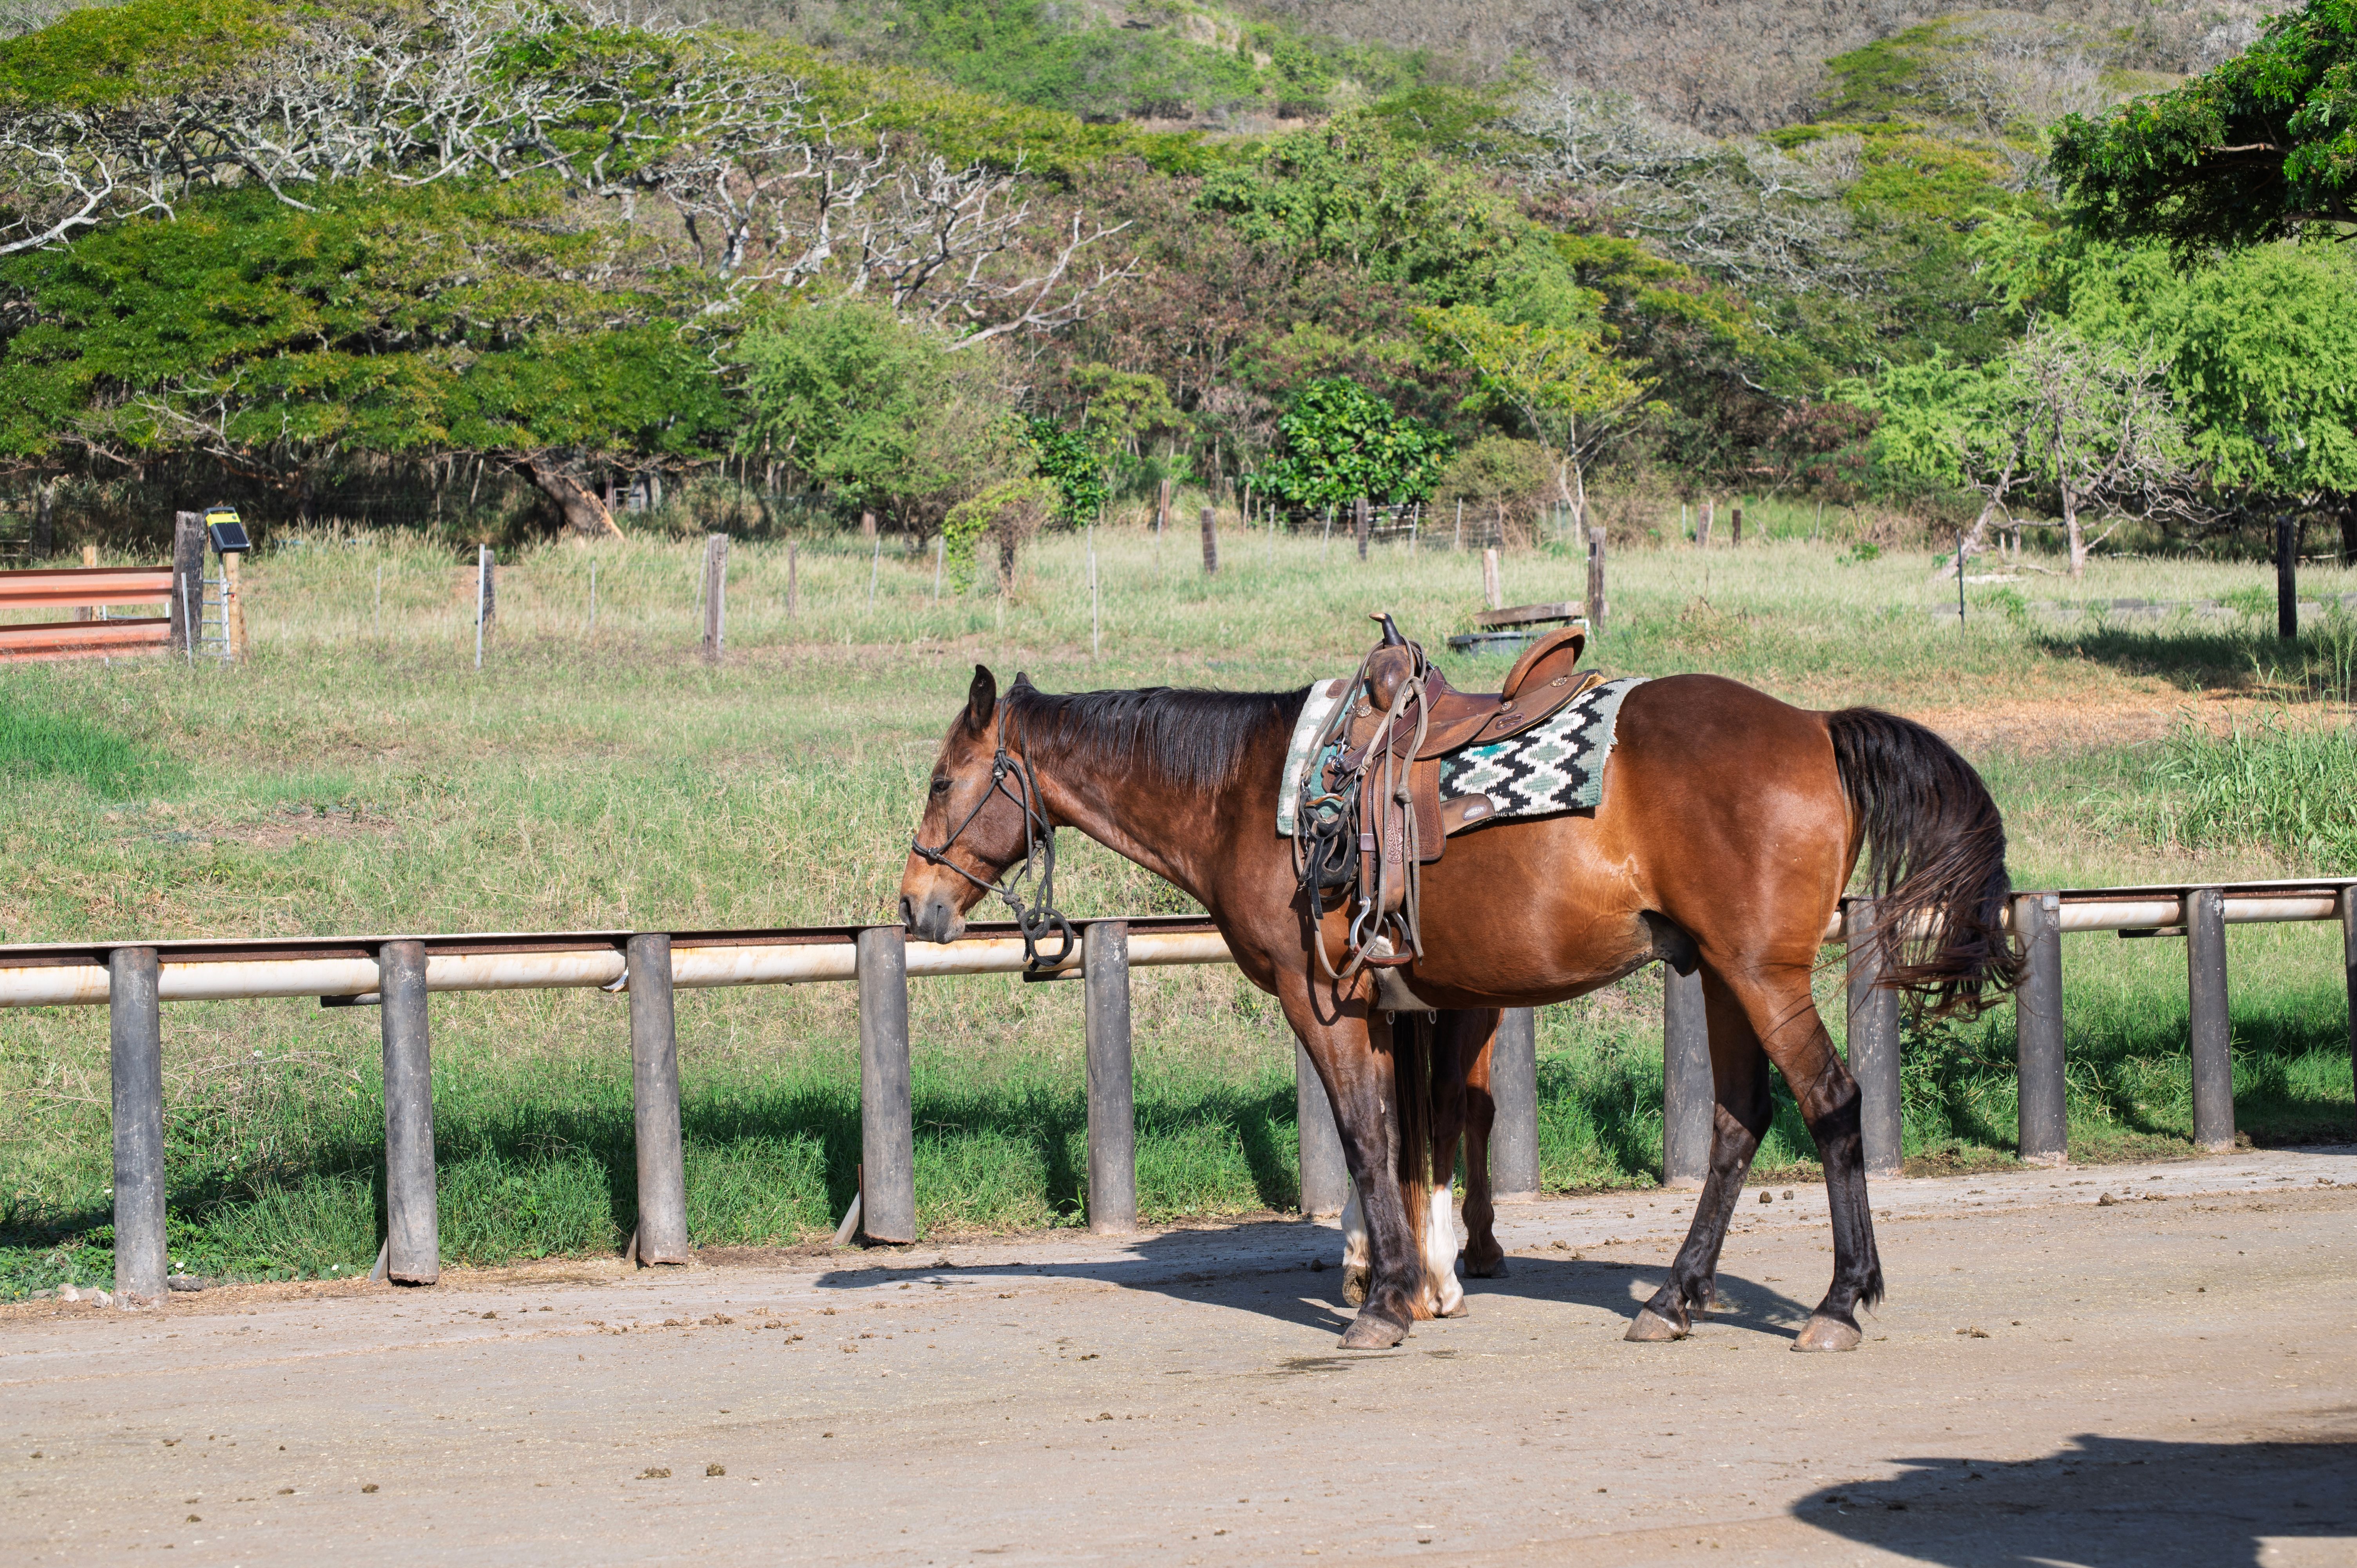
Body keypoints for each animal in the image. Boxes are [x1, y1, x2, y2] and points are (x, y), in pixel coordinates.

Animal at [899, 659, 2016, 1351]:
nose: (913, 903)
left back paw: (1838, 1301)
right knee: (1741, 1122)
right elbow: (1399, 1137)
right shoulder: (1395, 1006)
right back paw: (1673, 1296)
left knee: (1831, 1103)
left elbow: (1366, 1138)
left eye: (944, 779)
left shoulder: (1322, 1003)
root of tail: (1815, 728)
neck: (1255, 792)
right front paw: (1403, 1279)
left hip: (1760, 973)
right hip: (1722, 974)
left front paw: (1389, 1300)